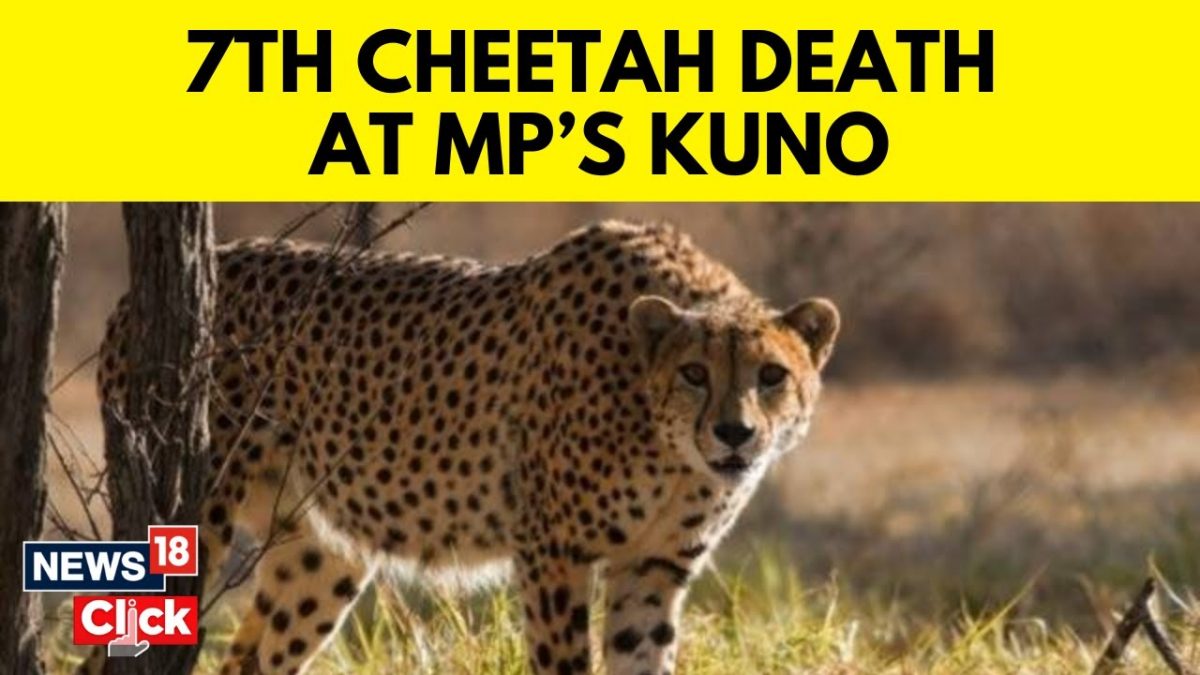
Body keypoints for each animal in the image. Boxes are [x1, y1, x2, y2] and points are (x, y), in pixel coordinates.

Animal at [94, 220, 840, 675]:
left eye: (771, 375)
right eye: (695, 373)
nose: (735, 433)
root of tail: (128, 301)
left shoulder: (654, 565)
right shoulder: (553, 552)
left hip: (319, 554)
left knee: (253, 657)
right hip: (196, 516)